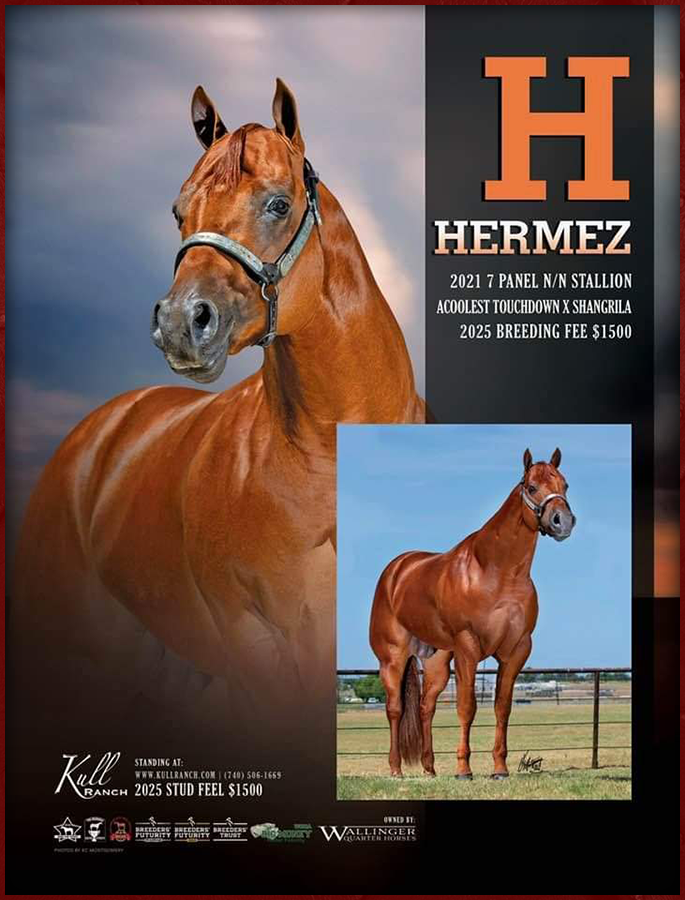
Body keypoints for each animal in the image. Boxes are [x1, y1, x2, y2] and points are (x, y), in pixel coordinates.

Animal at [12, 79, 426, 736]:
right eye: (179, 211)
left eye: (278, 204)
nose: (181, 324)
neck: (322, 458)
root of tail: (96, 433)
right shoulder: (260, 650)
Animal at [370, 448, 576, 779]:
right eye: (532, 487)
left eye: (565, 485)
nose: (563, 521)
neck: (497, 572)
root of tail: (396, 570)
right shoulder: (468, 647)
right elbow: (467, 707)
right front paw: (463, 769)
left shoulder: (517, 649)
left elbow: (502, 707)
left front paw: (500, 769)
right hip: (392, 657)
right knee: (395, 709)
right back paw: (396, 770)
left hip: (437, 662)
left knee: (426, 707)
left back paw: (429, 770)